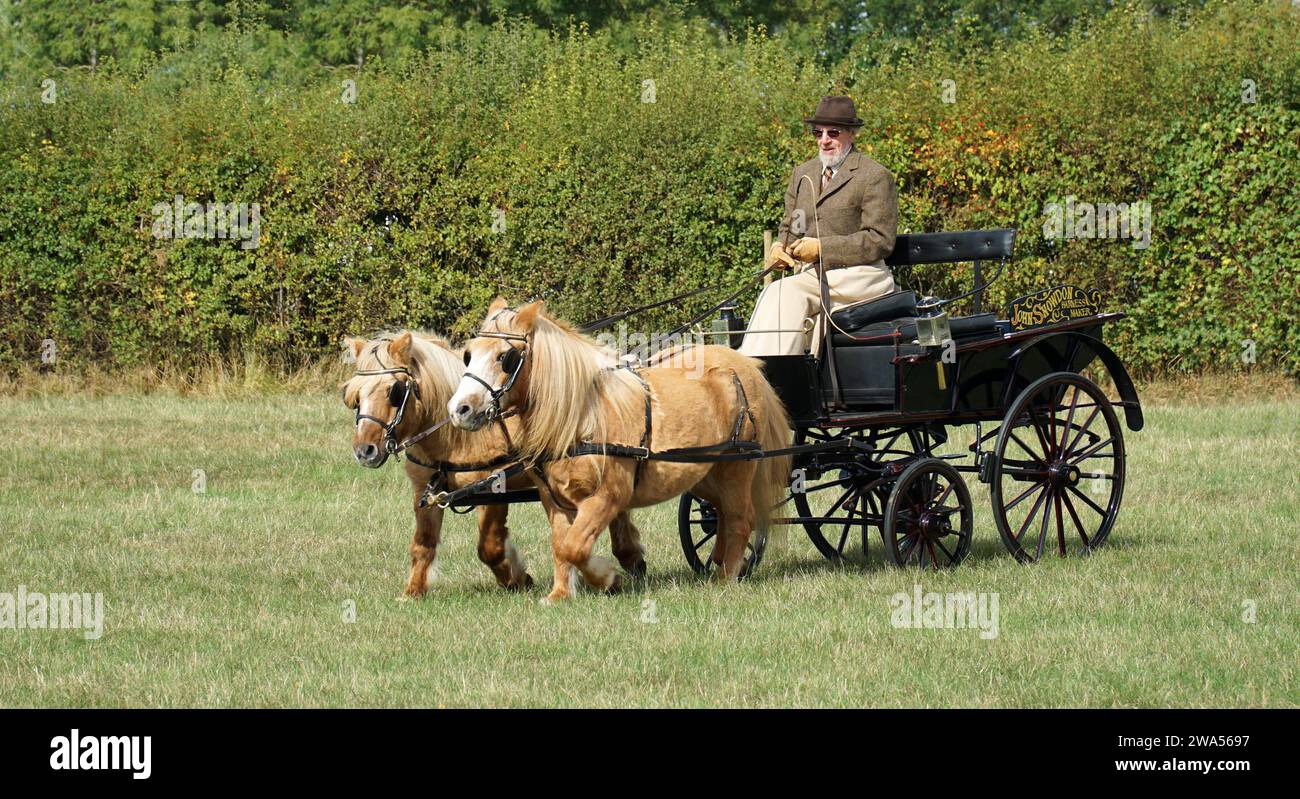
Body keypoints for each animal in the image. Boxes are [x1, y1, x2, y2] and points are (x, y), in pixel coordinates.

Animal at [341, 331, 646, 598]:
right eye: (354, 396)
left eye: (393, 390)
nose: (364, 451)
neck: (453, 436)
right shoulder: (425, 491)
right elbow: (423, 543)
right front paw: (413, 592)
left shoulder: (494, 489)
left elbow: (489, 546)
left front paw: (516, 577)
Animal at [447, 299, 792, 603]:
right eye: (468, 355)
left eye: (504, 357)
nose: (459, 409)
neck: (581, 416)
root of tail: (745, 364)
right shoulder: (553, 498)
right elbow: (561, 545)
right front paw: (560, 594)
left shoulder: (608, 496)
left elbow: (575, 546)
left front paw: (608, 578)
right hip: (704, 473)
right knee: (720, 514)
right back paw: (722, 562)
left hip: (738, 466)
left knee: (741, 518)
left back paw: (725, 576)